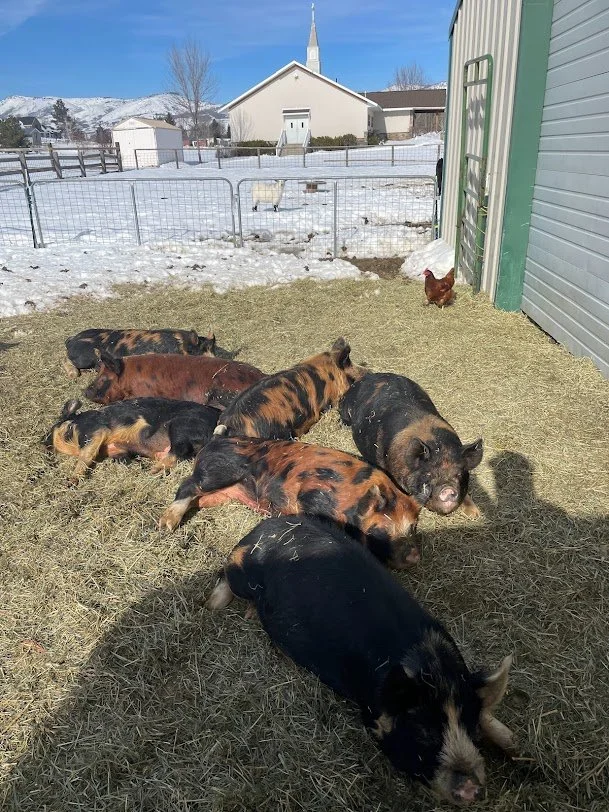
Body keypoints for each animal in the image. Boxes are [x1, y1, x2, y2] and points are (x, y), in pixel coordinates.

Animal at [44, 397, 220, 482]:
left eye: (68, 430)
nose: (44, 442)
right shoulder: (116, 449)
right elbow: (121, 458)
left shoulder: (94, 430)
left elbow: (86, 455)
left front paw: (71, 481)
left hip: (182, 426)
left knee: (178, 451)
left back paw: (153, 471)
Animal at [159, 435, 421, 568]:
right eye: (382, 530)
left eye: (412, 528)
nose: (414, 556)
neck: (351, 502)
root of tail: (212, 442)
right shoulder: (312, 497)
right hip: (216, 472)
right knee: (186, 485)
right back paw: (166, 525)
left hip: (219, 493)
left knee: (198, 498)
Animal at [207, 515, 516, 806]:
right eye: (424, 732)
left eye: (472, 728)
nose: (472, 790)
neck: (430, 664)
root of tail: (258, 530)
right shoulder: (368, 707)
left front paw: (514, 744)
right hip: (239, 573)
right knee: (225, 577)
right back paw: (219, 606)